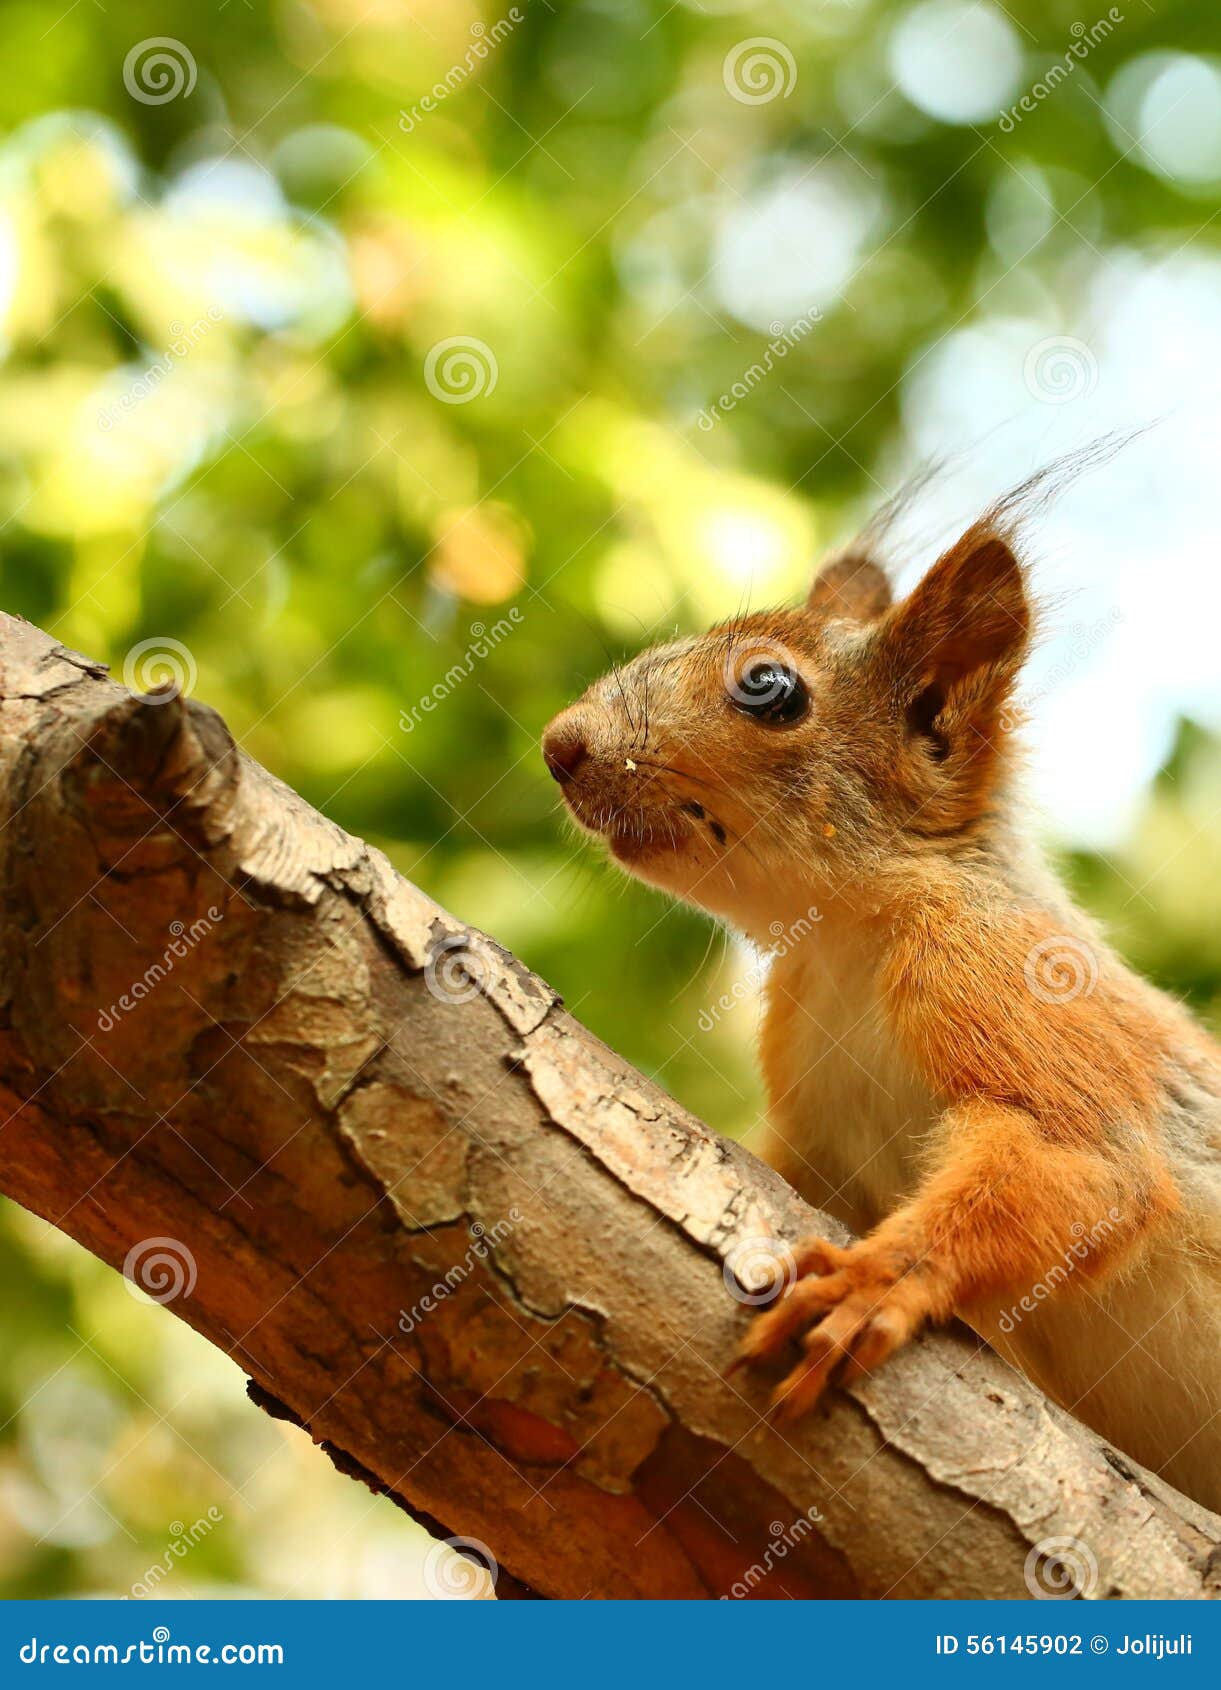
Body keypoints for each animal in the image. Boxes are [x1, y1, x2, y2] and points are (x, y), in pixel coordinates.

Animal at [542, 470, 1221, 1514]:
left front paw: (878, 1278)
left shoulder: (1005, 974)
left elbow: (1081, 1156)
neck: (845, 943)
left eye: (767, 686)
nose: (560, 744)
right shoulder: (816, 1133)